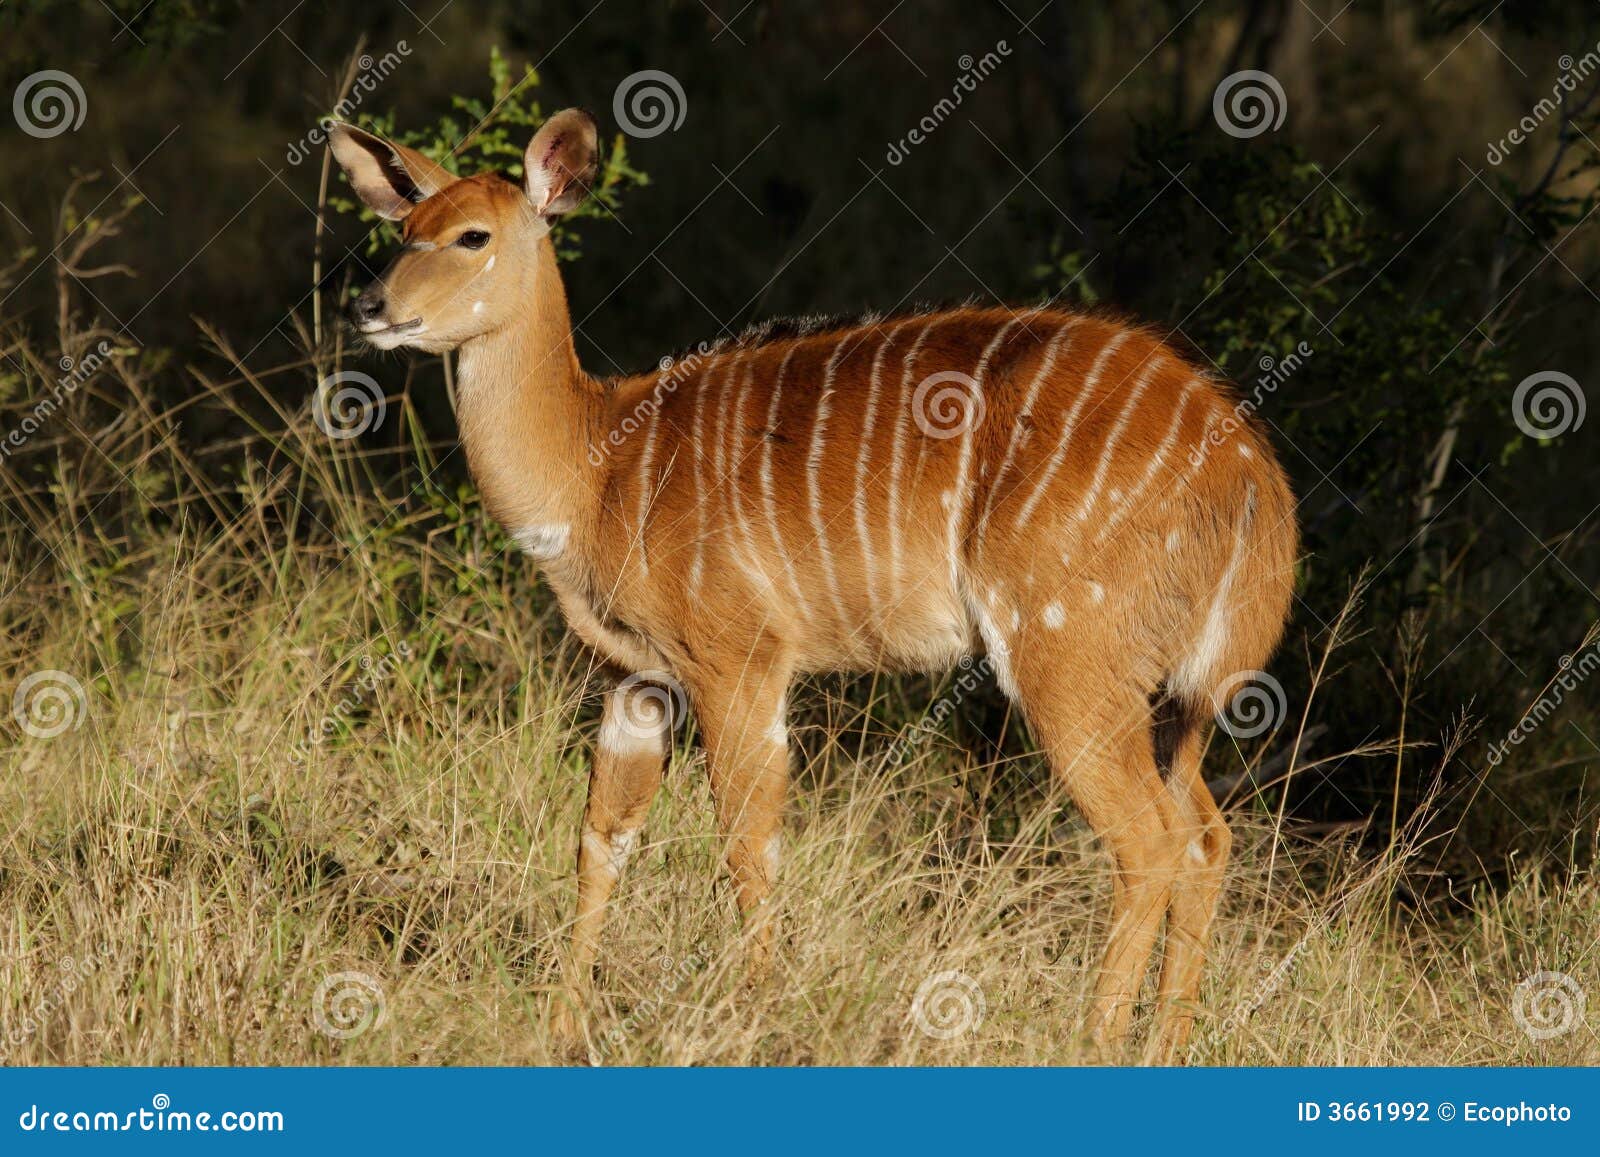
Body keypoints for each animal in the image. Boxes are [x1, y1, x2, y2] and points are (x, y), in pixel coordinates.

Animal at [329, 107, 1297, 1059]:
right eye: (400, 229)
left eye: (472, 235)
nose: (370, 306)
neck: (598, 469)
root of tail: (1255, 482)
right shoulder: (637, 677)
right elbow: (603, 836)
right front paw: (563, 1025)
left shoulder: (741, 658)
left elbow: (747, 843)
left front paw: (755, 1015)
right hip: (1166, 694)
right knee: (1207, 835)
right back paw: (1165, 1043)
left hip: (1067, 650)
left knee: (1149, 836)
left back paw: (1094, 1042)